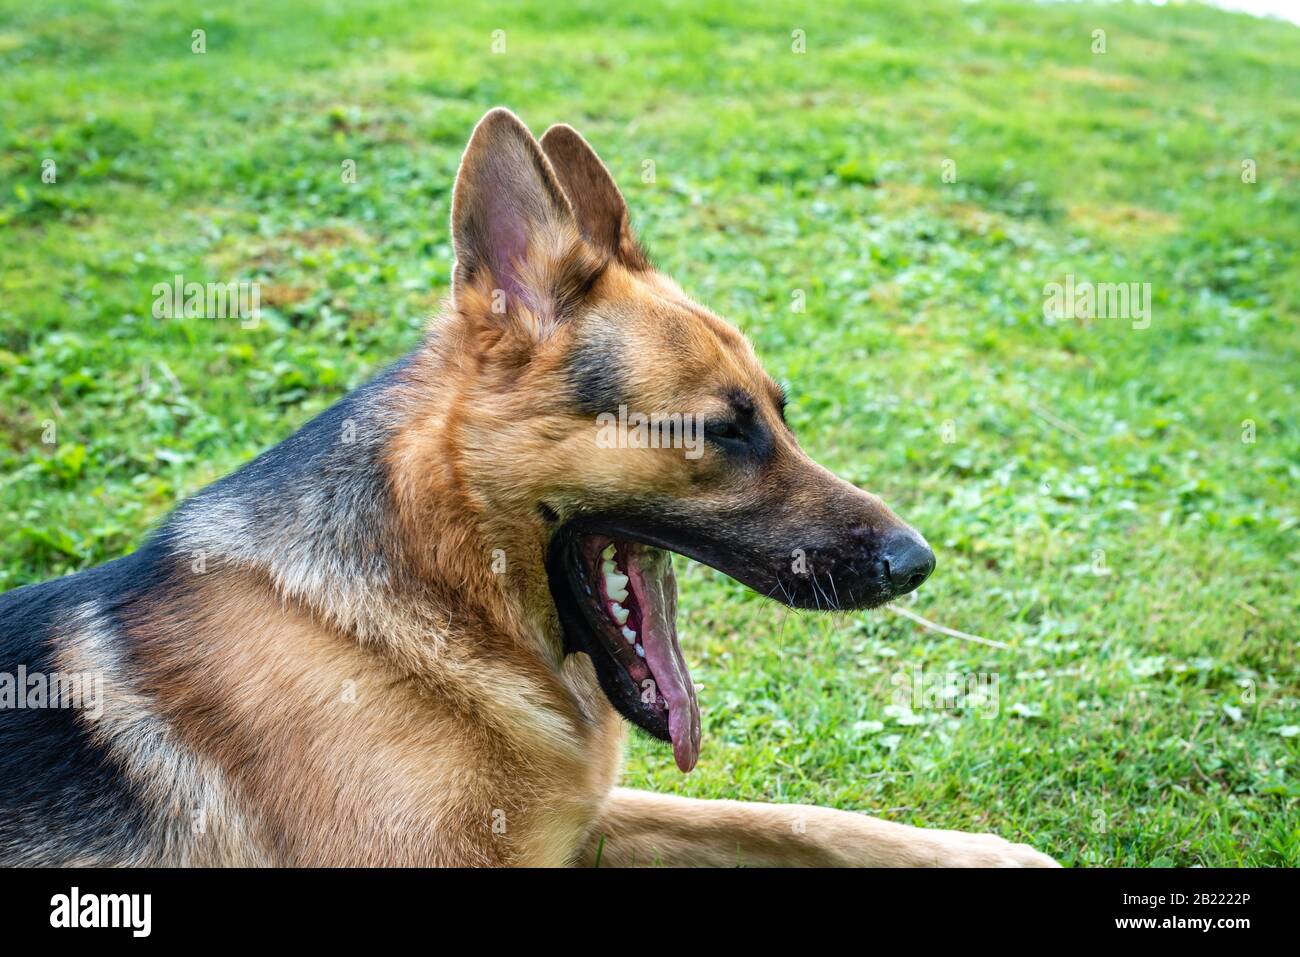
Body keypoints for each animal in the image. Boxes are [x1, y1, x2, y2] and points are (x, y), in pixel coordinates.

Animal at [0, 110, 1055, 868]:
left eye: (781, 412)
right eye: (719, 431)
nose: (916, 562)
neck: (434, 610)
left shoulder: (580, 819)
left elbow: (777, 815)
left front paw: (976, 852)